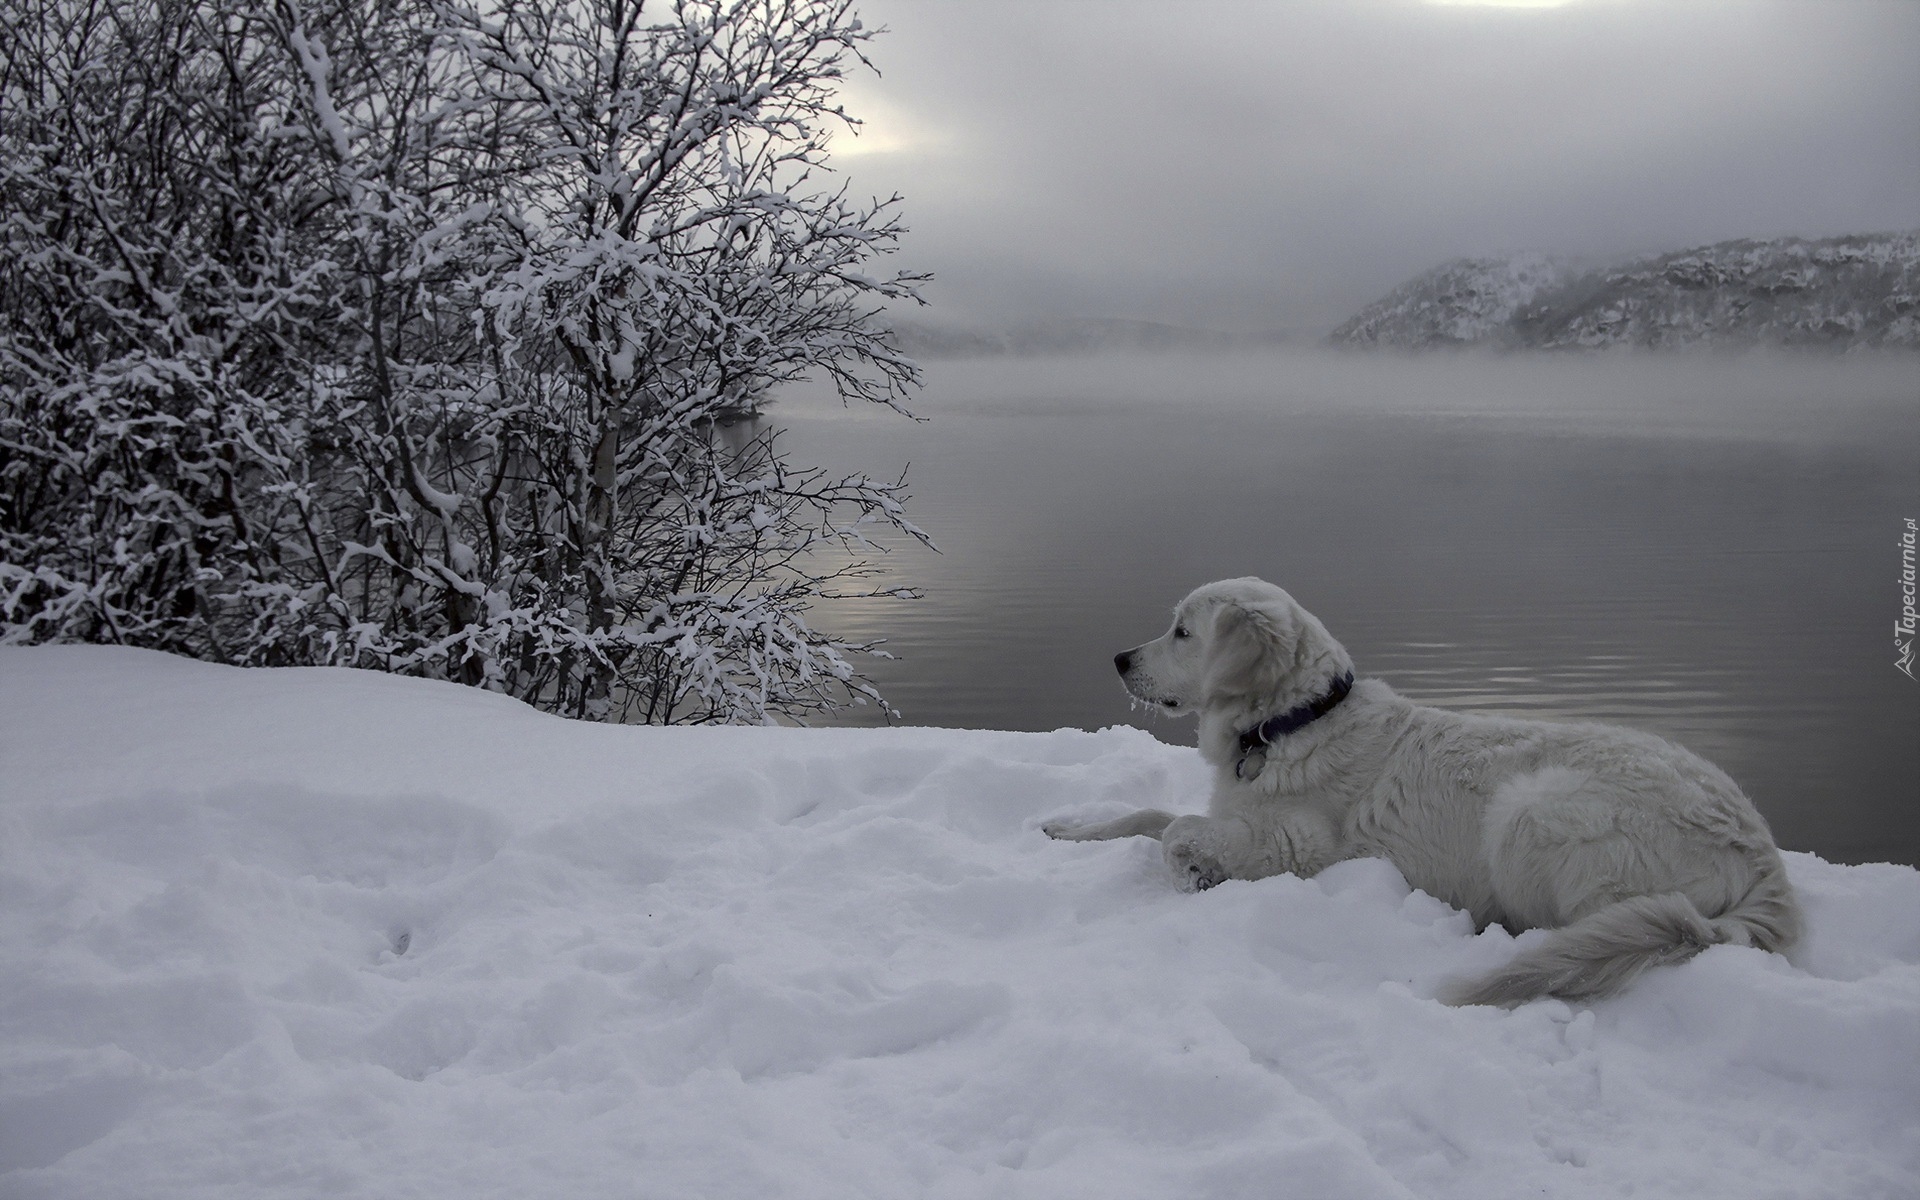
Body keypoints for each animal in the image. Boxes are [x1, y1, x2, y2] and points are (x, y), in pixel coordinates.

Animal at [1044, 576, 1789, 1006]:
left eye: (1182, 631)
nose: (1119, 659)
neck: (1292, 722)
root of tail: (1762, 852)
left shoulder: (1294, 844)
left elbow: (1175, 832)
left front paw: (1195, 877)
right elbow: (1146, 812)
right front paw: (1068, 828)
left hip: (1529, 811)